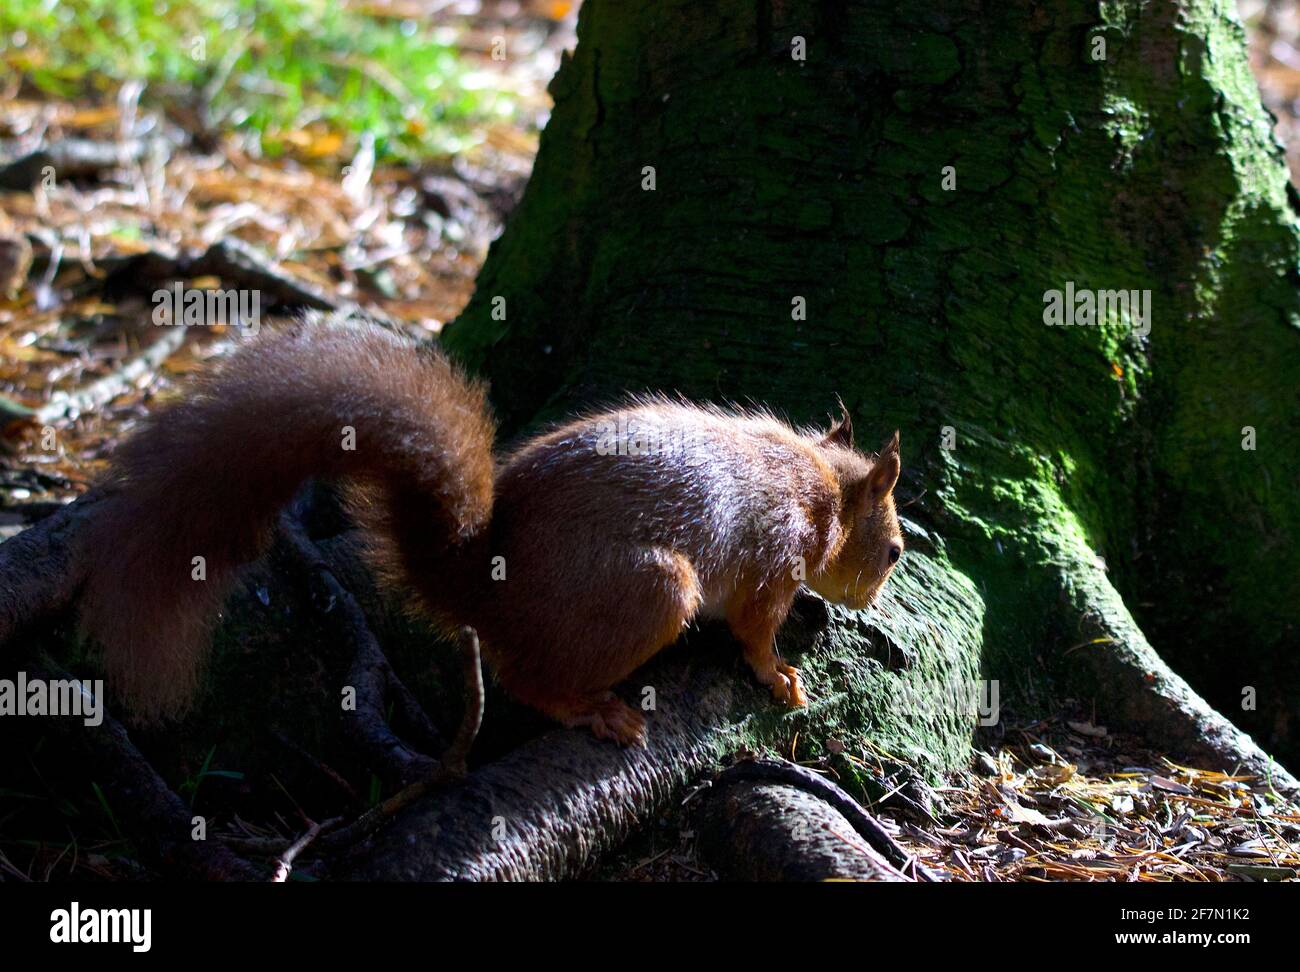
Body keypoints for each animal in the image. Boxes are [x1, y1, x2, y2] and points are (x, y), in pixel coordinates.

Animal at [77, 312, 904, 746]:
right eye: (894, 550)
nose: (869, 603)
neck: (820, 486)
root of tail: (482, 583)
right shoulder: (774, 557)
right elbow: (756, 629)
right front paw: (781, 674)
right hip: (652, 592)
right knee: (524, 679)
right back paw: (594, 711)